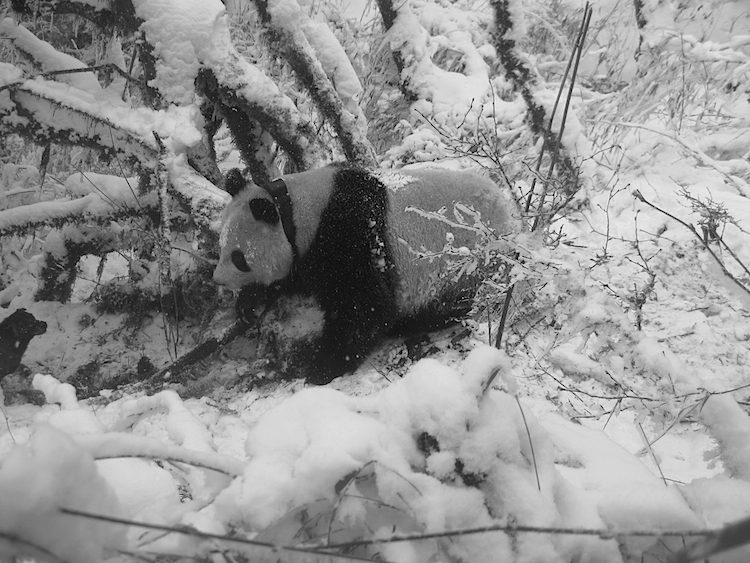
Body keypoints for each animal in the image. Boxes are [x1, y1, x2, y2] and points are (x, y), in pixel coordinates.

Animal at [213, 164, 520, 384]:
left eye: (238, 258)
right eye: (221, 246)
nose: (218, 279)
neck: (297, 211)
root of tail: (508, 215)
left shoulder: (350, 234)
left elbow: (364, 305)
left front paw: (323, 365)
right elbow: (293, 277)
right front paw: (249, 302)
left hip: (467, 265)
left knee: (450, 302)